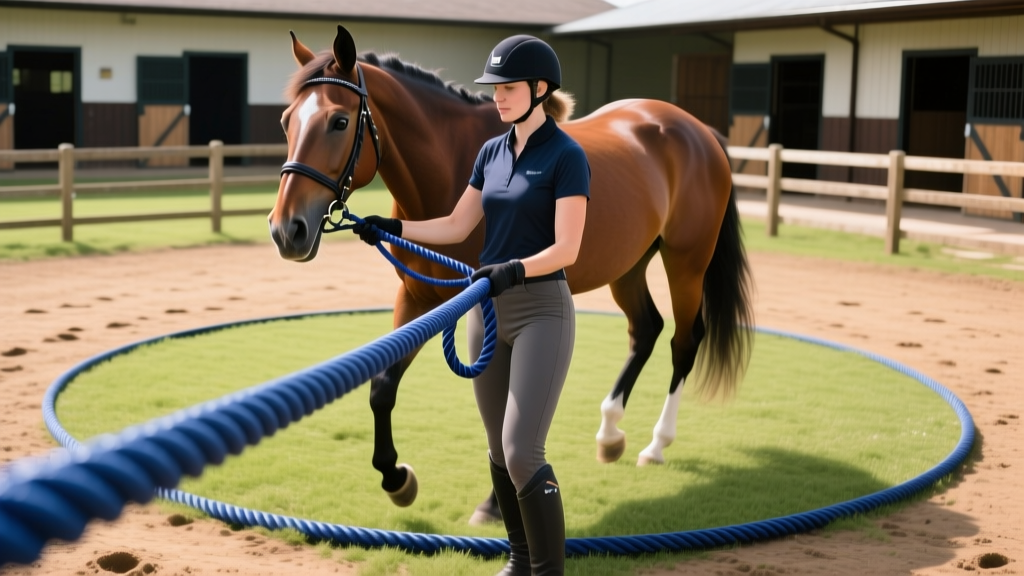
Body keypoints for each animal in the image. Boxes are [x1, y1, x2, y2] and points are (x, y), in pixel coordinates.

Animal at [269, 25, 753, 522]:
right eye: (287, 121)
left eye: (338, 122)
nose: (287, 230)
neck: (450, 166)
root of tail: (697, 130)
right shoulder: (419, 297)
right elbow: (383, 386)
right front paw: (396, 478)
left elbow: (505, 411)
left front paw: (491, 505)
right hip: (630, 264)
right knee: (646, 329)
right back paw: (609, 435)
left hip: (686, 262)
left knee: (684, 342)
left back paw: (655, 445)